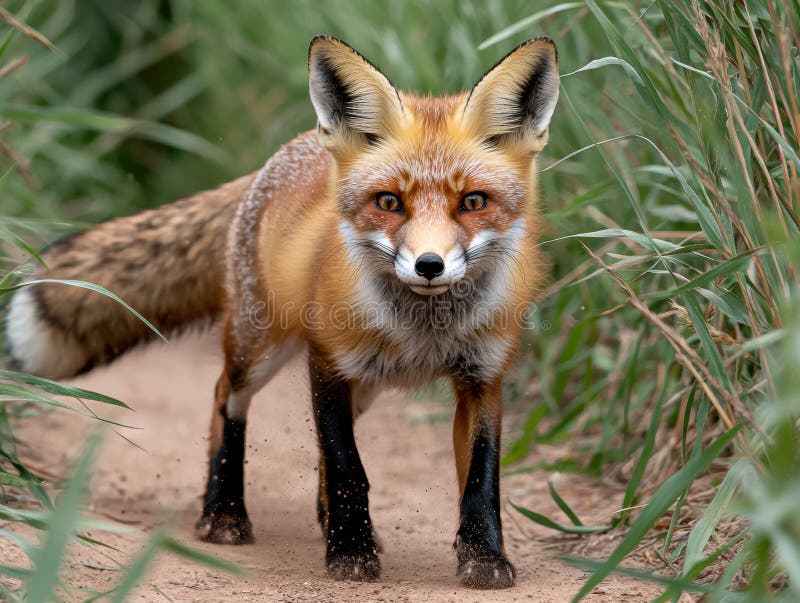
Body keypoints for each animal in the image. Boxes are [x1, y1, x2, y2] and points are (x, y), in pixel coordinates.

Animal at [5, 36, 559, 589]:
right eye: (388, 202)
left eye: (473, 202)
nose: (429, 265)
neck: (425, 331)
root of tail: (284, 153)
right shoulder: (328, 363)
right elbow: (347, 466)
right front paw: (350, 552)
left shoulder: (482, 379)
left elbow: (480, 481)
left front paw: (484, 559)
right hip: (259, 348)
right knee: (225, 398)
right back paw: (224, 513)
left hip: (366, 385)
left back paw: (324, 520)